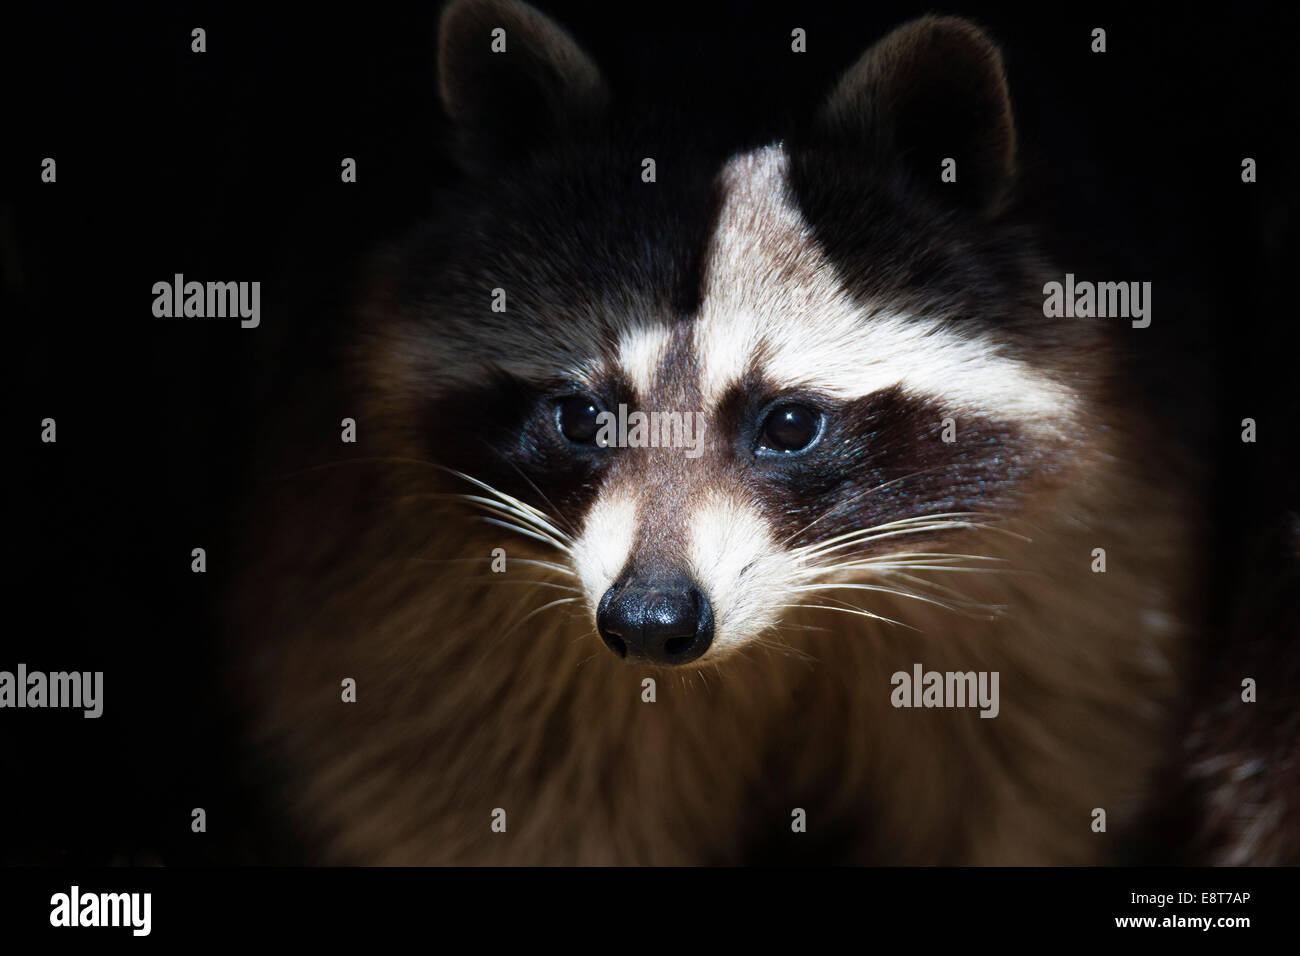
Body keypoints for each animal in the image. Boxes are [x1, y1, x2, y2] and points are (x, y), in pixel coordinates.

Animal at [229, 0, 1205, 864]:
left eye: (789, 424)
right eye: (581, 417)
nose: (649, 619)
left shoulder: (1061, 606)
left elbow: (1035, 781)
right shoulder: (410, 614)